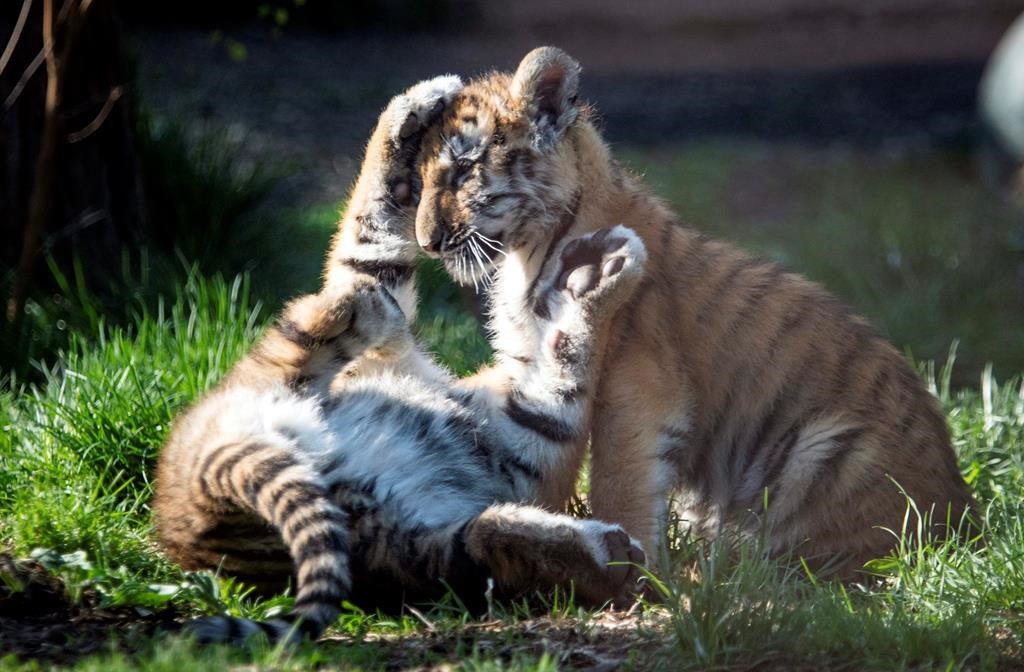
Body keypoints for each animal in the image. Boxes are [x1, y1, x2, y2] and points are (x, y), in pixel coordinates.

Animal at [153, 77, 647, 645]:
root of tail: (192, 514)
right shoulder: (507, 437)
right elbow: (370, 223)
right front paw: (416, 104)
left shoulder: (517, 446)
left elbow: (562, 358)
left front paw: (594, 274)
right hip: (272, 381)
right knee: (329, 317)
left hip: (402, 546)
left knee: (482, 538)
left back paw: (615, 560)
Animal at [411, 47, 979, 577]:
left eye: (463, 170)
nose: (426, 243)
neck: (527, 249)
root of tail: (966, 520)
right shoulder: (536, 364)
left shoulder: (636, 388)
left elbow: (620, 480)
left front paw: (633, 564)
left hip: (823, 452)